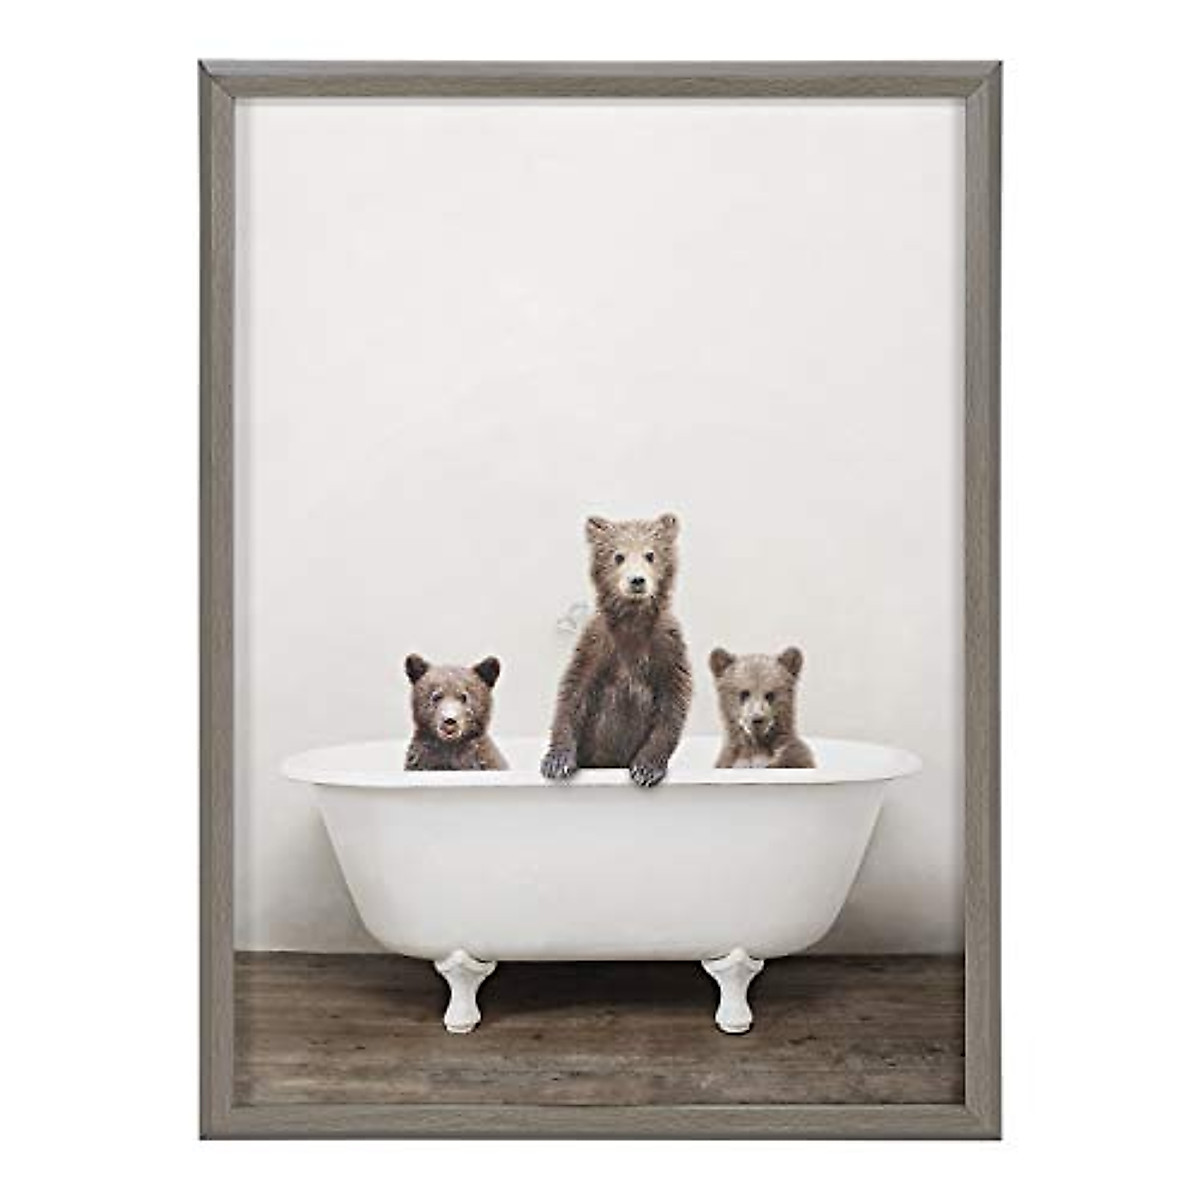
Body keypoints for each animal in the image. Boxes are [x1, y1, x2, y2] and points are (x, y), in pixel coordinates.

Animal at [541, 513, 692, 787]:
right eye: (618, 556)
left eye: (650, 554)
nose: (637, 580)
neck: (632, 622)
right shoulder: (597, 644)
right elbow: (573, 693)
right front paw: (557, 761)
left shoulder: (667, 645)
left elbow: (672, 703)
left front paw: (646, 768)